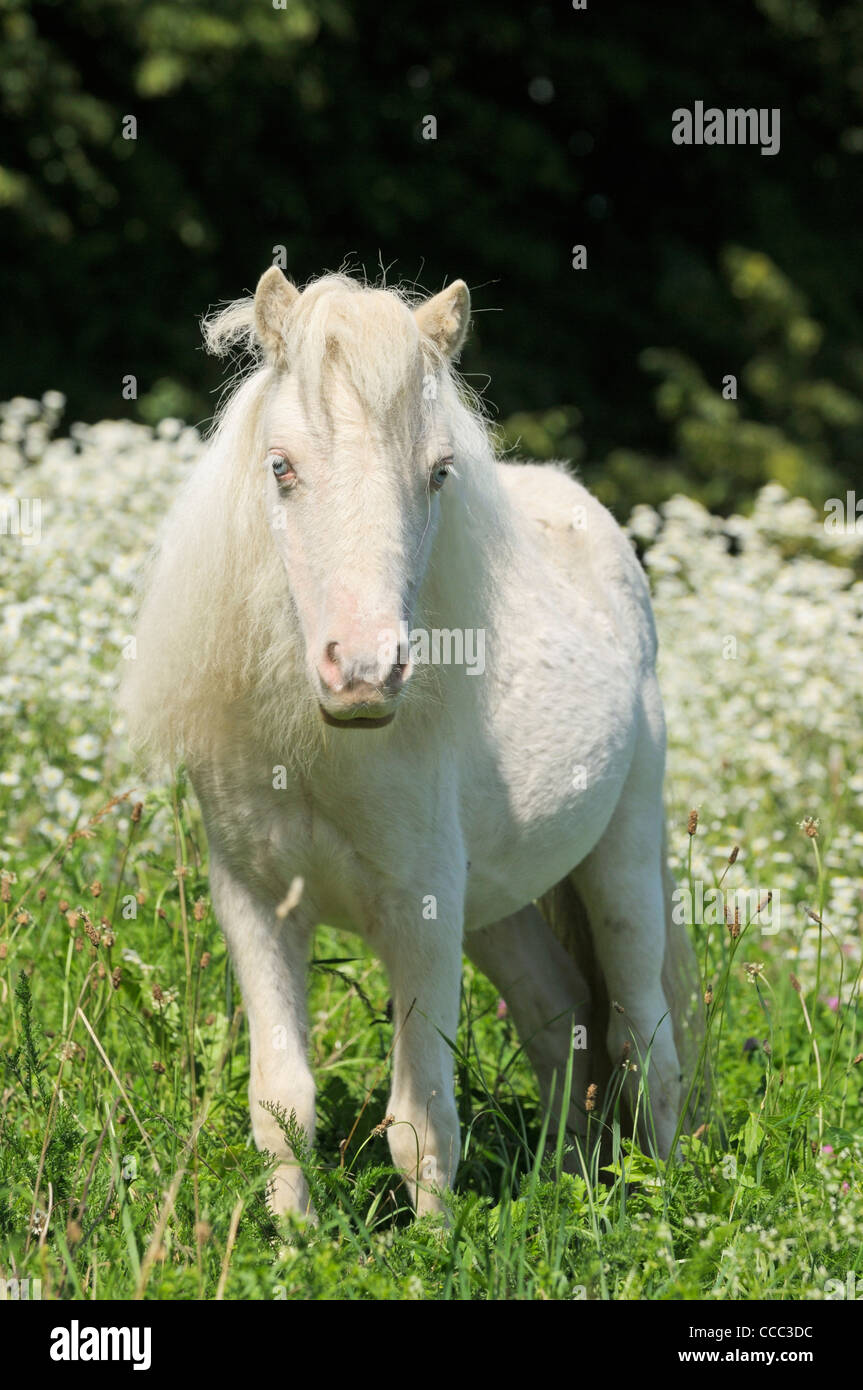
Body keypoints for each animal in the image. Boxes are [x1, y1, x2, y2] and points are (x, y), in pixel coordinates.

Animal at [120, 266, 700, 1219]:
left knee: (641, 1040)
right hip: (497, 908)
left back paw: (659, 1204)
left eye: (437, 473)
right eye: (280, 466)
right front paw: (296, 1237)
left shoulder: (421, 911)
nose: (362, 672)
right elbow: (282, 1103)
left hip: (620, 863)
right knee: (560, 1021)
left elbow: (420, 1124)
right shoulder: (255, 905)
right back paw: (569, 1187)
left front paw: (435, 1242)